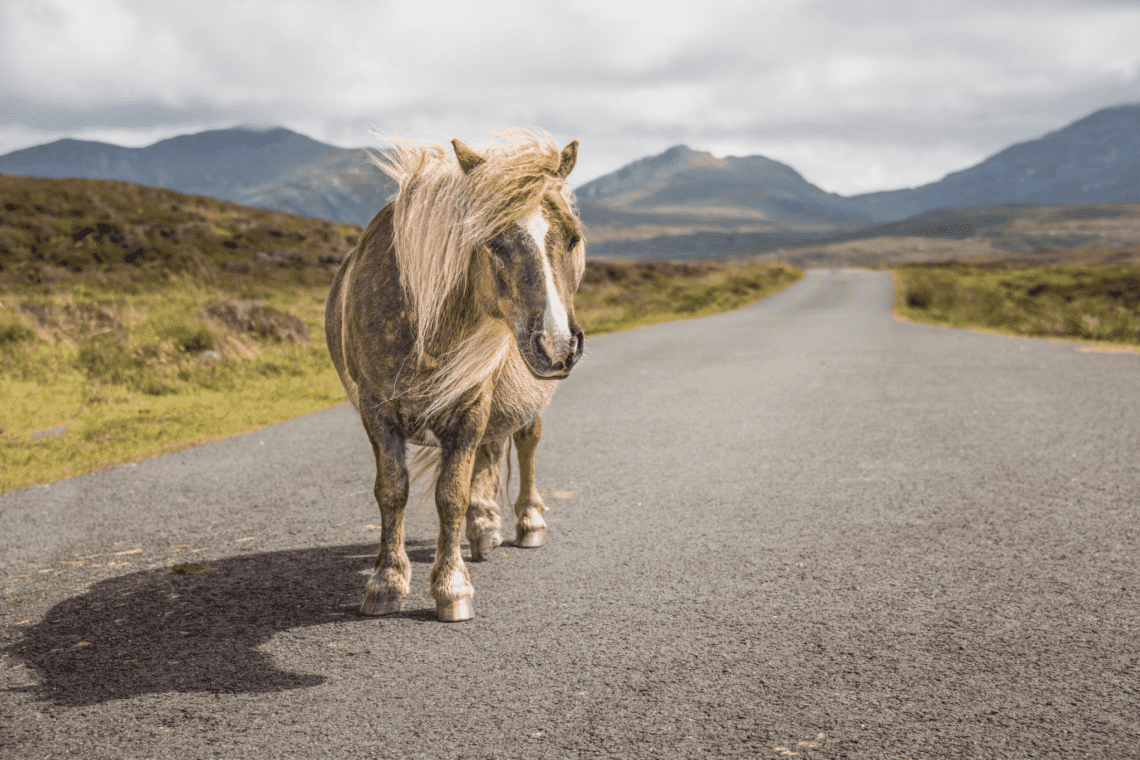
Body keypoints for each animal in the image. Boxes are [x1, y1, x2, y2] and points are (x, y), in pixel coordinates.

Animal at [325, 130, 586, 622]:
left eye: (573, 239)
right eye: (495, 242)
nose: (558, 345)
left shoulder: (469, 408)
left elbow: (451, 494)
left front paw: (451, 588)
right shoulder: (376, 411)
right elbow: (392, 491)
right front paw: (387, 582)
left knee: (526, 442)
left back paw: (528, 521)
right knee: (491, 450)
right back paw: (484, 527)